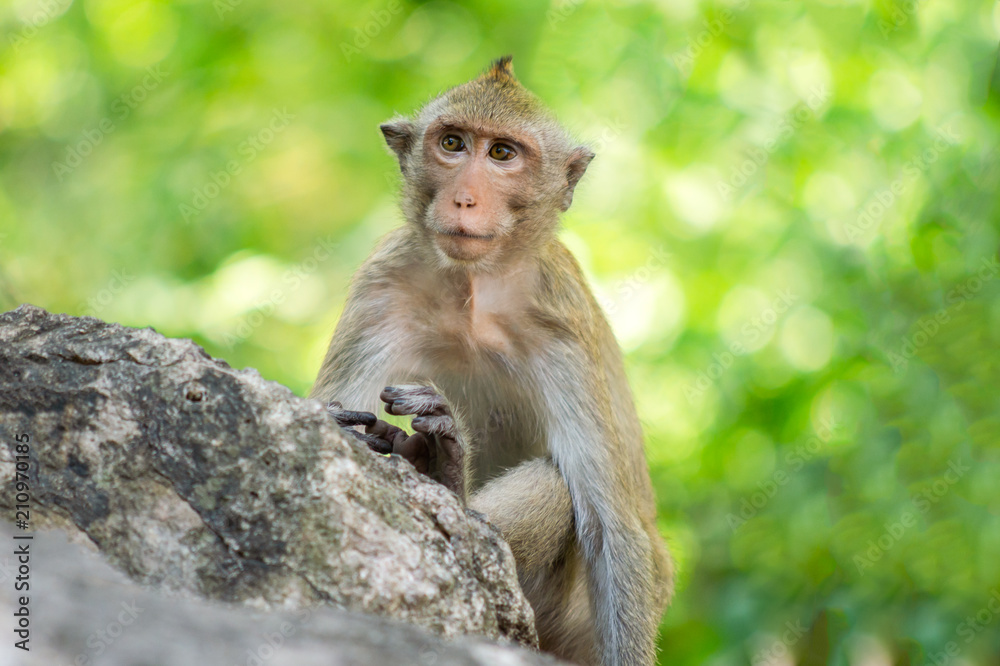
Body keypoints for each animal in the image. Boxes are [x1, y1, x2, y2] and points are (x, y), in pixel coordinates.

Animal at [310, 56, 673, 666]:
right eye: (452, 144)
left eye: (503, 153)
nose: (465, 199)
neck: (474, 292)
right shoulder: (381, 289)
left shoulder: (561, 326)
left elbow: (612, 531)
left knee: (557, 488)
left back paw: (446, 476)